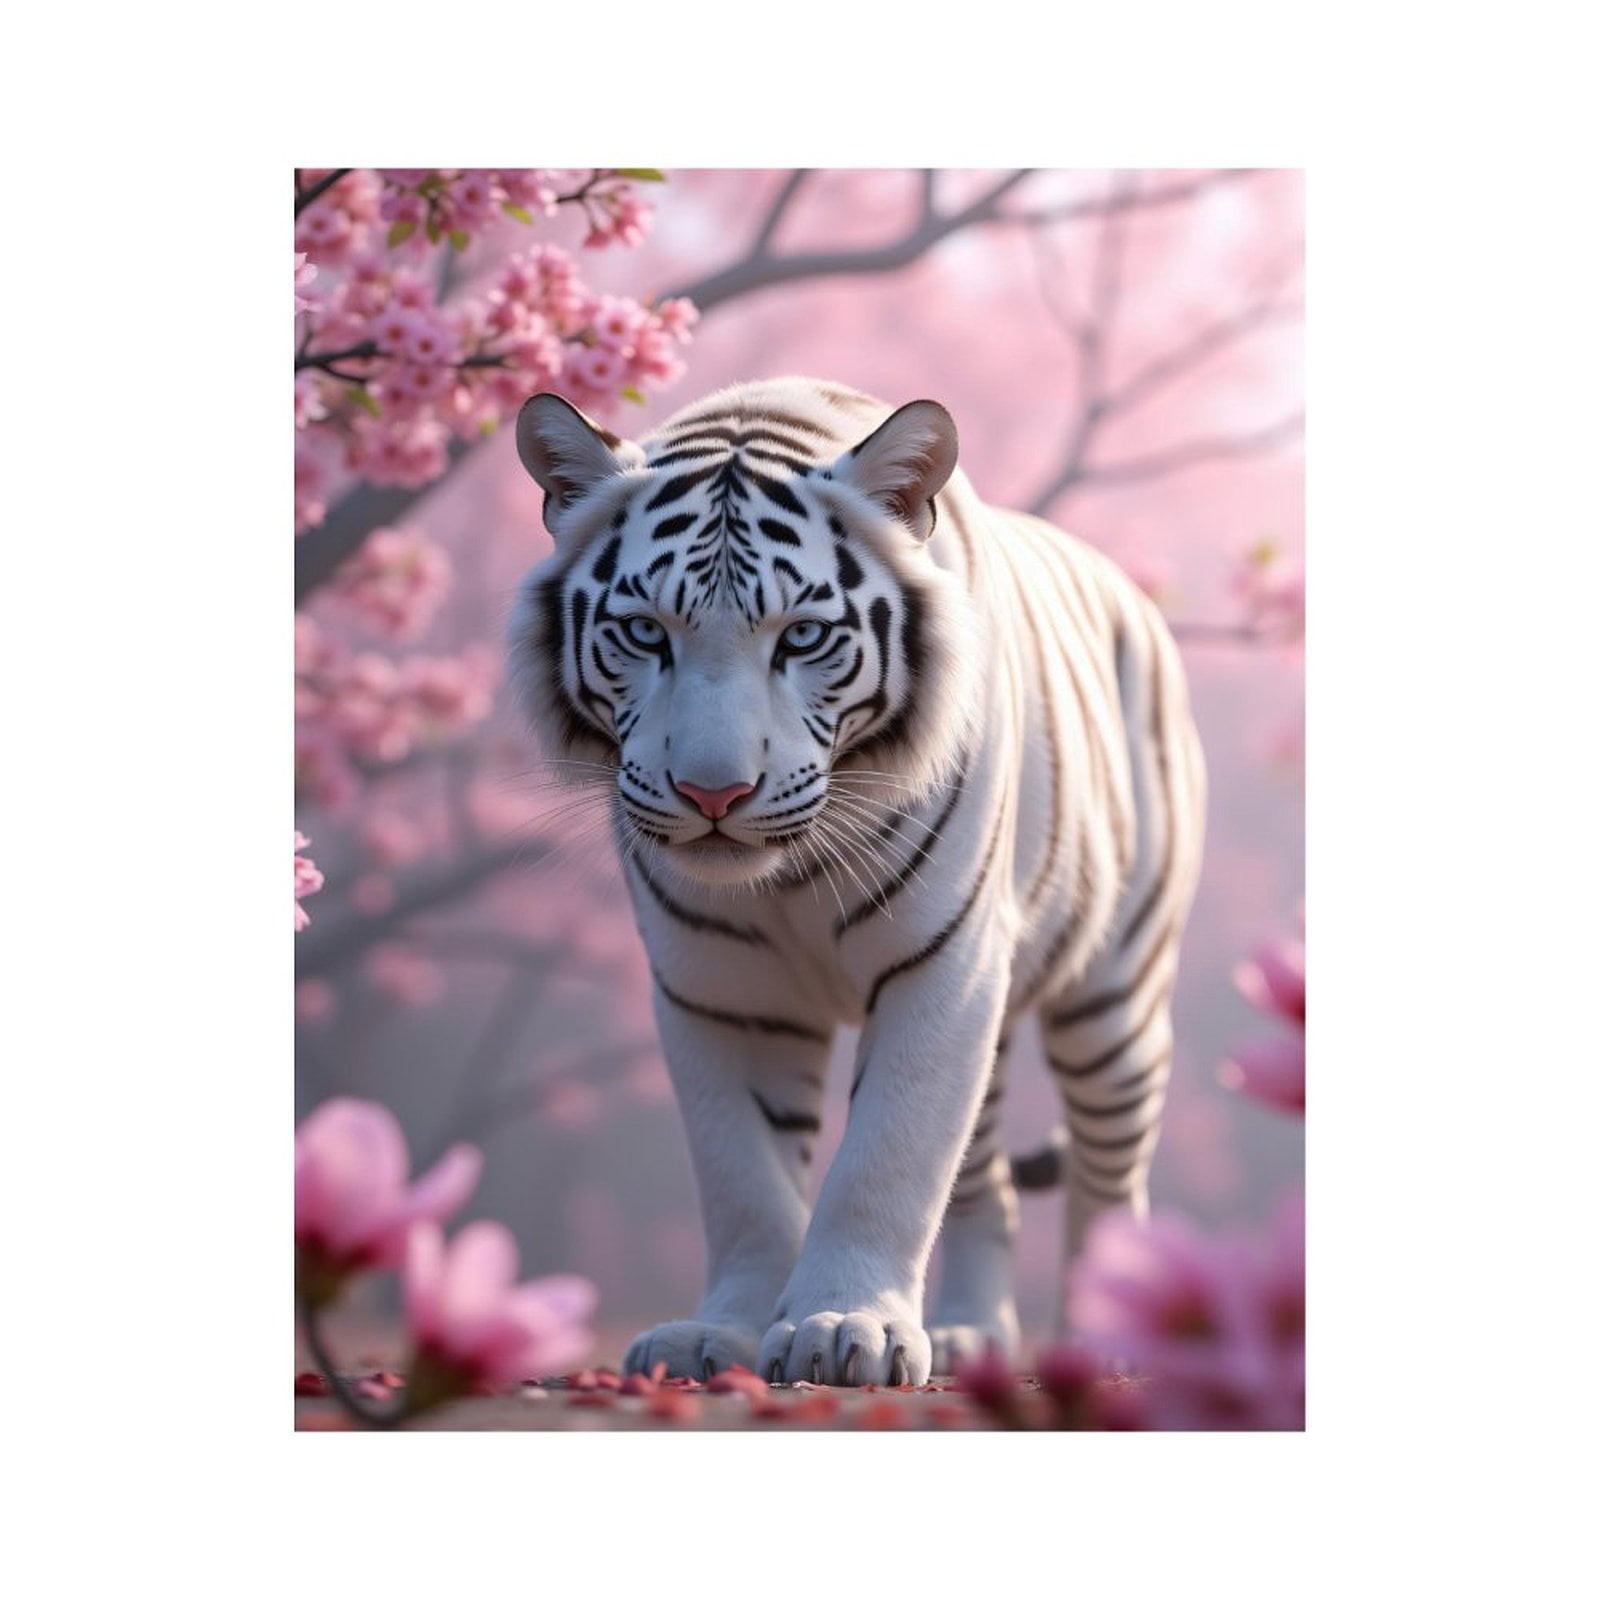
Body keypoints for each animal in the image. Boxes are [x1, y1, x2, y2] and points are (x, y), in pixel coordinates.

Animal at [508, 376, 1205, 1386]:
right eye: (644, 632)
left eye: (801, 638)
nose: (714, 793)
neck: (786, 875)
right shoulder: (717, 990)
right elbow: (744, 1179)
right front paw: (720, 1332)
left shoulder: (943, 969)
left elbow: (889, 1157)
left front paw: (845, 1327)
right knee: (989, 1184)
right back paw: (969, 1332)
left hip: (1114, 1003)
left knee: (1108, 1176)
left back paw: (1112, 1340)